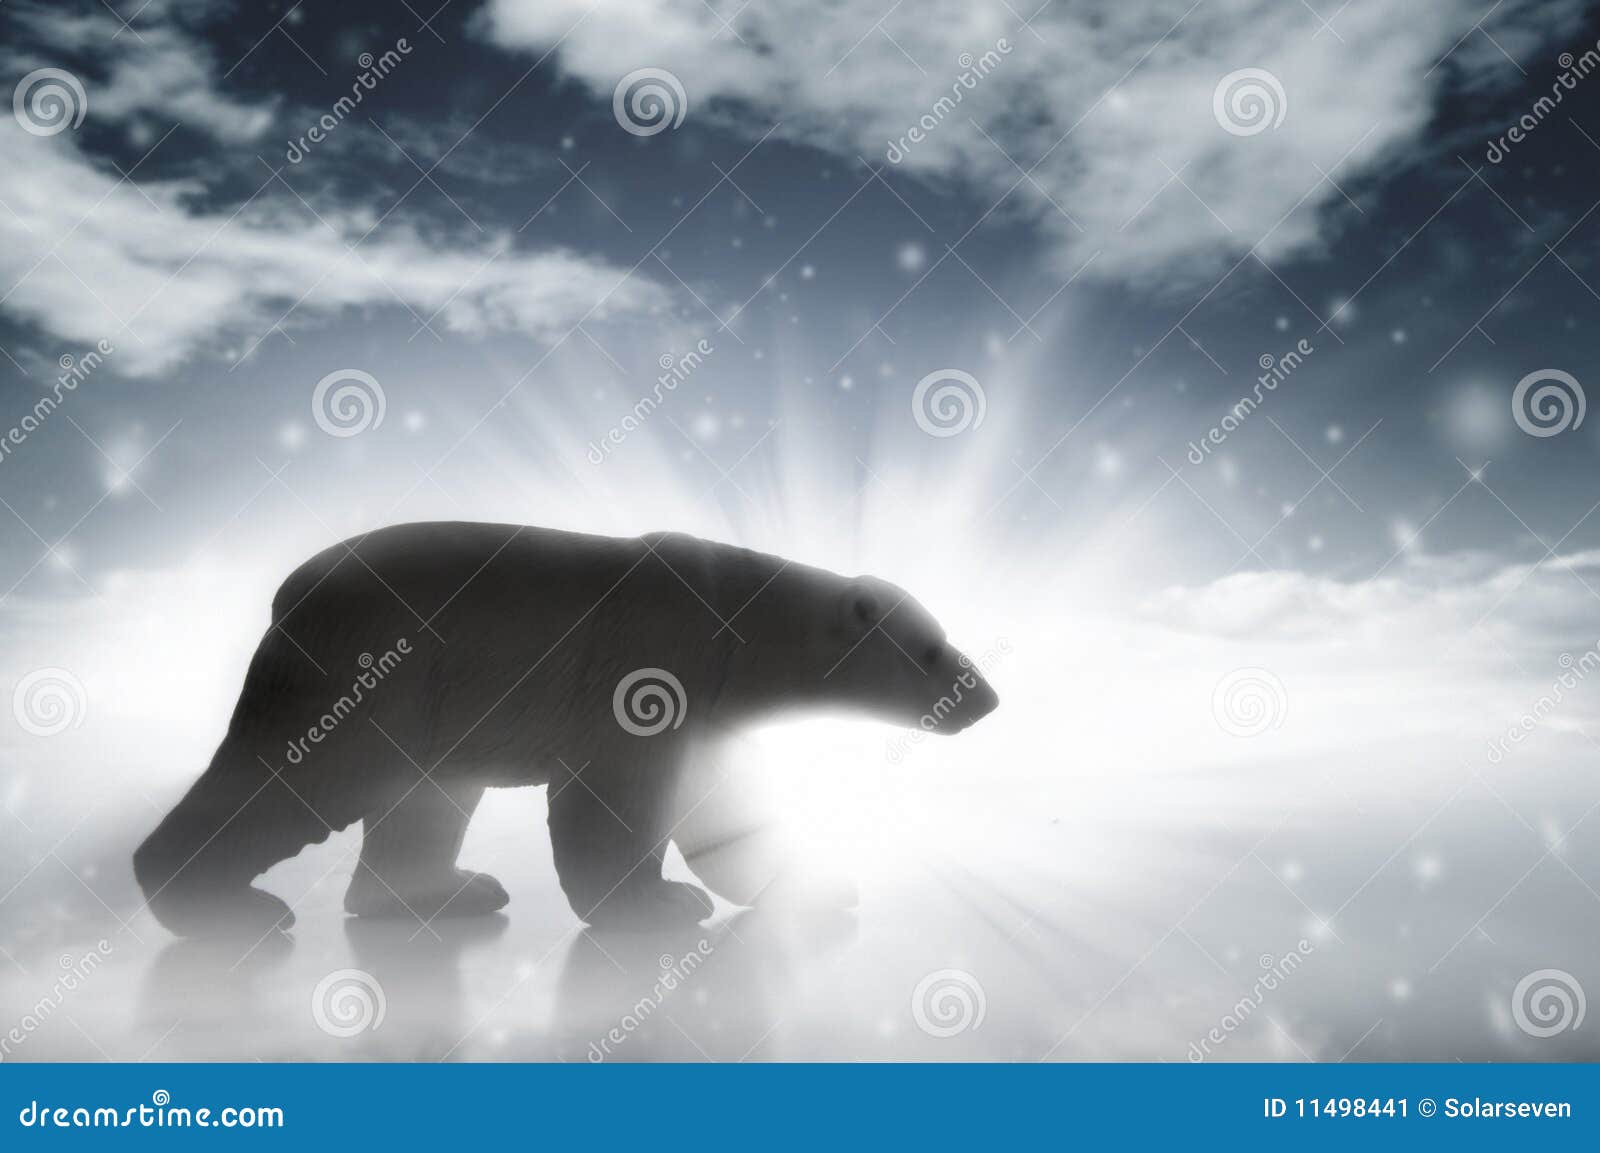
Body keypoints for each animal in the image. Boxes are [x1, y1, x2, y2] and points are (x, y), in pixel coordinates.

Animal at [132, 522, 999, 937]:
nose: (985, 697)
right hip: (368, 671)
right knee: (307, 777)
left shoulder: (712, 710)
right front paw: (658, 906)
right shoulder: (651, 668)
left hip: (433, 701)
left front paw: (817, 883)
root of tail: (286, 594)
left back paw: (444, 892)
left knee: (426, 800)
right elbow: (614, 795)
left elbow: (726, 810)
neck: (736, 622)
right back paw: (213, 904)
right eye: (929, 649)